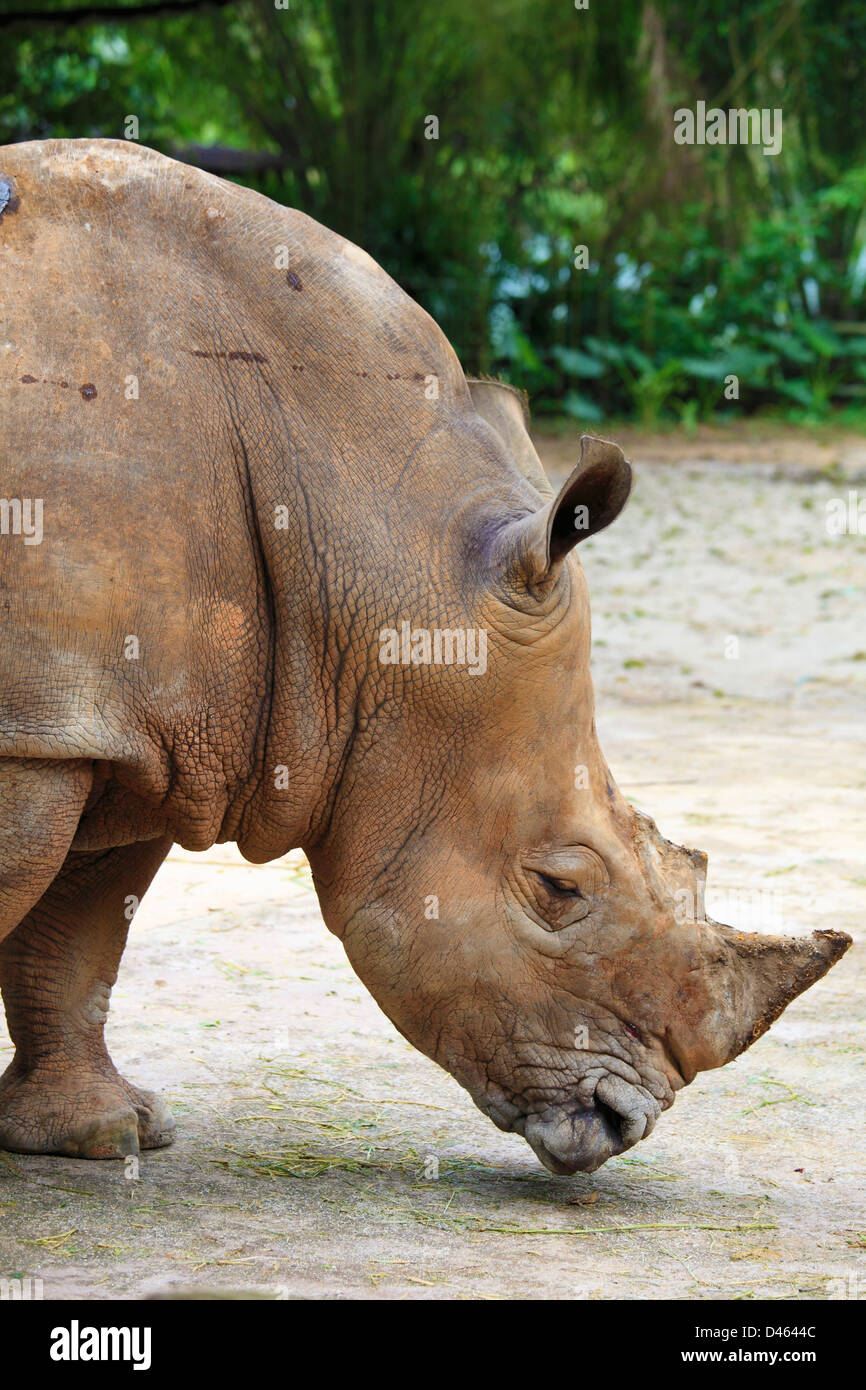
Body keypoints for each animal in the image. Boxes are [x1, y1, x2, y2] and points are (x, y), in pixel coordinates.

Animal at [0, 140, 850, 1174]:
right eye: (559, 888)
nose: (619, 1126)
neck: (364, 521)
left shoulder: (138, 726)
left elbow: (78, 937)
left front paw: (102, 1132)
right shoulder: (44, 723)